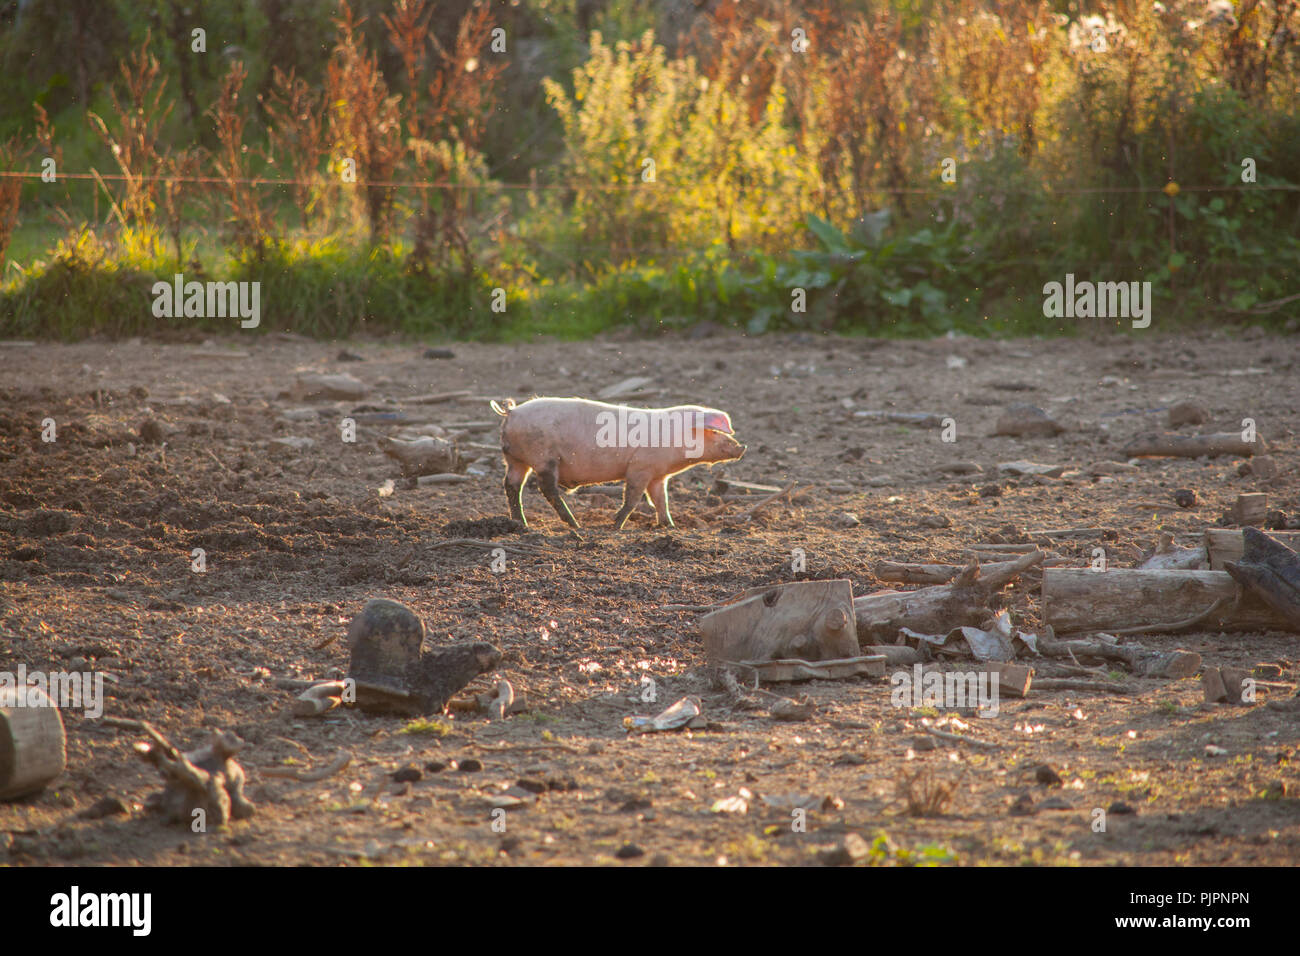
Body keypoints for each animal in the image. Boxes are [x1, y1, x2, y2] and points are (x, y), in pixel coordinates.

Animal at [489, 397, 745, 529]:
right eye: (714, 432)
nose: (742, 447)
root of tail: (512, 413)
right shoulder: (640, 467)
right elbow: (632, 498)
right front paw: (615, 525)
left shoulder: (658, 475)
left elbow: (661, 500)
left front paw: (669, 527)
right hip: (543, 457)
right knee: (547, 489)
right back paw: (575, 527)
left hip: (516, 460)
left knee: (512, 485)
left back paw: (521, 524)